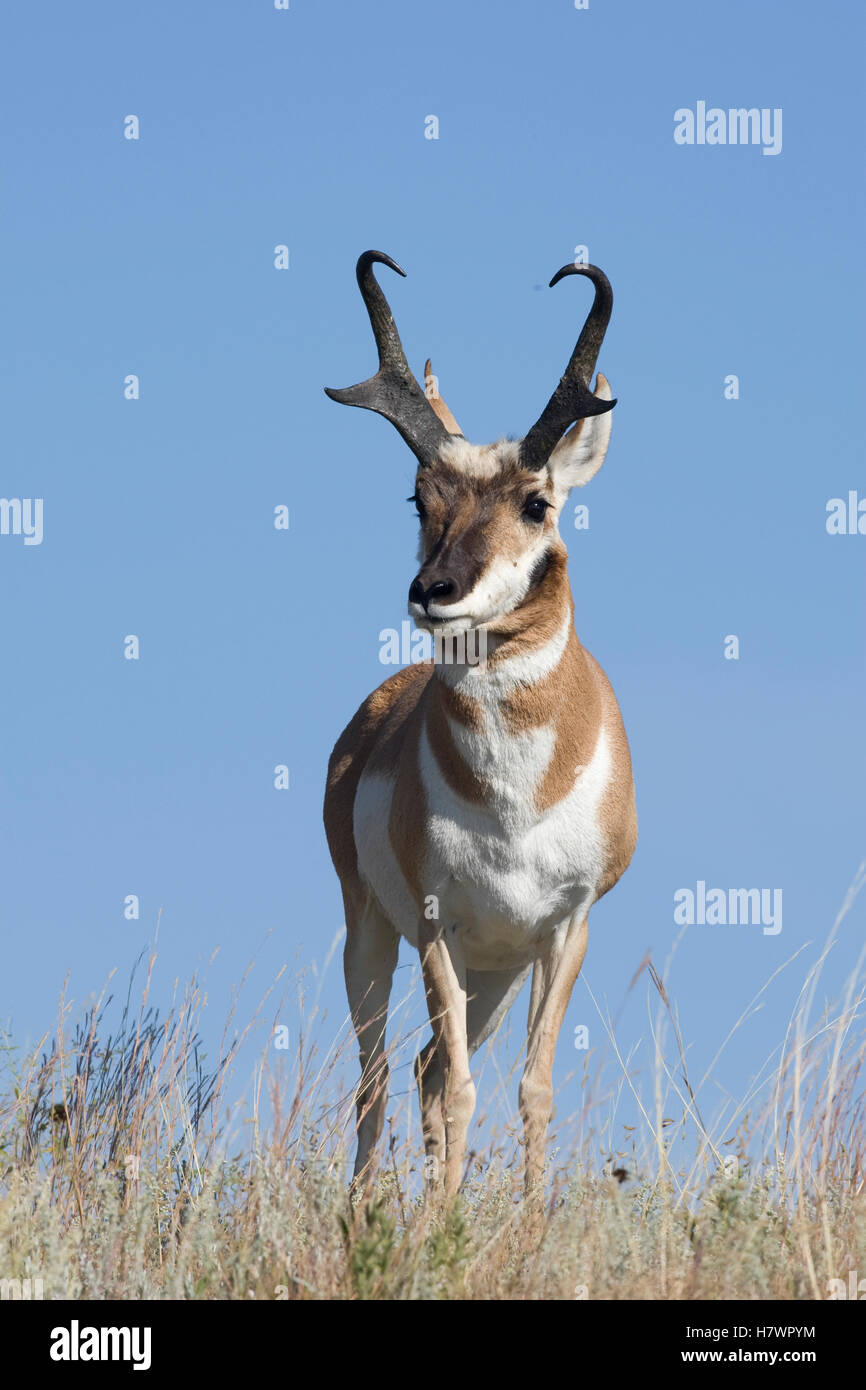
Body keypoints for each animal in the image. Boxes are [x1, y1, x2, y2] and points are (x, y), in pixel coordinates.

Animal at [323, 251, 637, 1199]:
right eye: (418, 496)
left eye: (537, 502)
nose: (435, 591)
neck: (515, 802)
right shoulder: (437, 928)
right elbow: (462, 1089)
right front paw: (441, 1224)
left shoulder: (563, 929)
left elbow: (532, 1089)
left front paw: (530, 1222)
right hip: (372, 937)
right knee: (383, 1077)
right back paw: (370, 1209)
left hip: (496, 971)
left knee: (423, 1069)